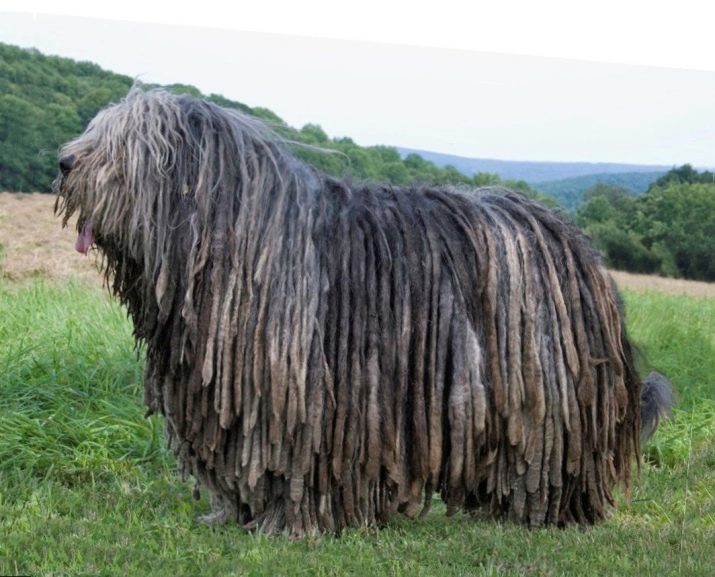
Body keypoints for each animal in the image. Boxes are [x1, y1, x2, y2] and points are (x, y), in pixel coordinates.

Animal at [54, 89, 672, 536]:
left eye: (118, 146)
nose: (62, 161)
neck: (240, 235)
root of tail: (575, 243)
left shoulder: (301, 395)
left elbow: (296, 465)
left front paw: (290, 523)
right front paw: (233, 513)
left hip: (547, 389)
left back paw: (551, 512)